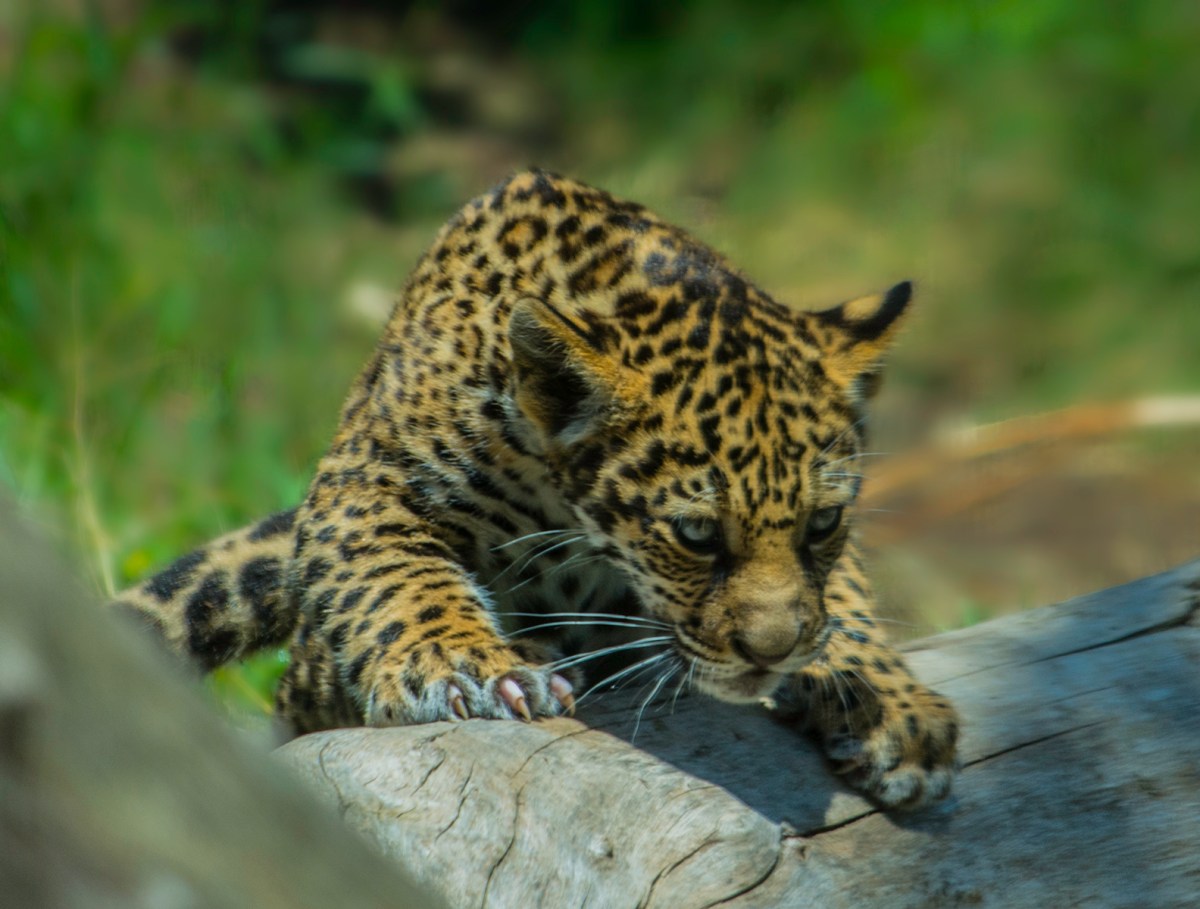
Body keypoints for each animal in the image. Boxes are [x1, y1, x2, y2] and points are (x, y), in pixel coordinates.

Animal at [113, 169, 959, 810]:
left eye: (823, 523)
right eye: (694, 534)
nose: (770, 652)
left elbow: (842, 596)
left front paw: (887, 698)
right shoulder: (368, 481)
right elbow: (398, 579)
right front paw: (465, 663)